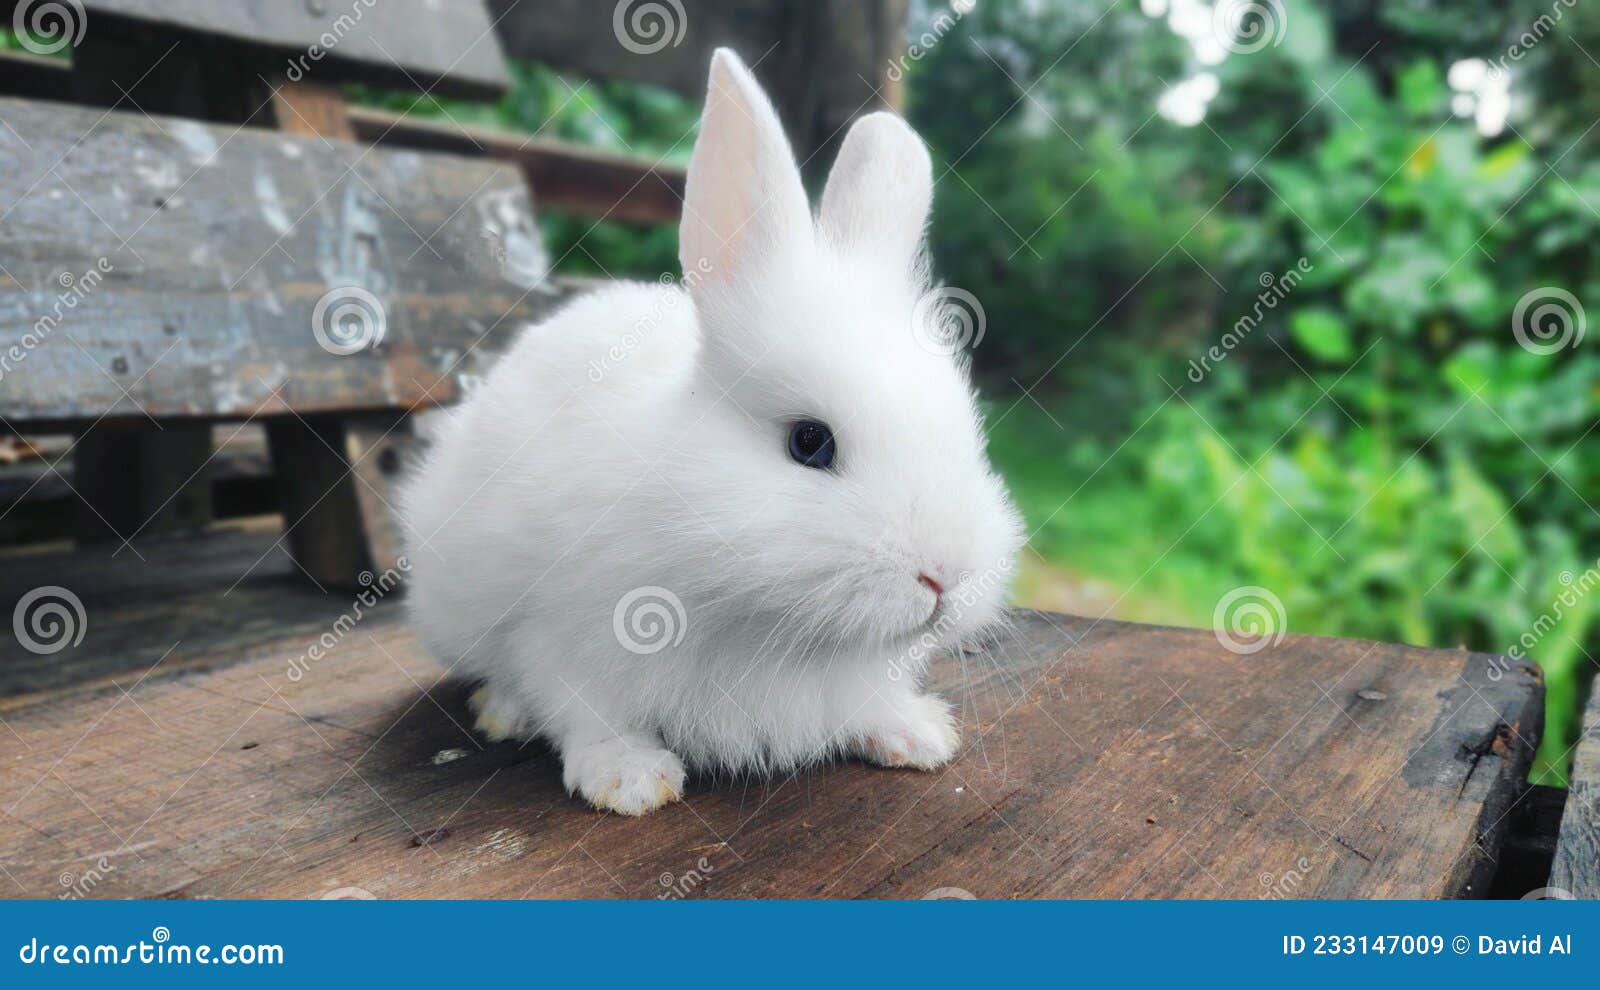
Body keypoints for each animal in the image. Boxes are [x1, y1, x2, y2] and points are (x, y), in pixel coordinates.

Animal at [400, 48, 1024, 816]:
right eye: (809, 442)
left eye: (968, 435)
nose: (946, 577)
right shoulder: (567, 634)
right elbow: (586, 710)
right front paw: (629, 781)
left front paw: (915, 735)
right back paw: (504, 713)